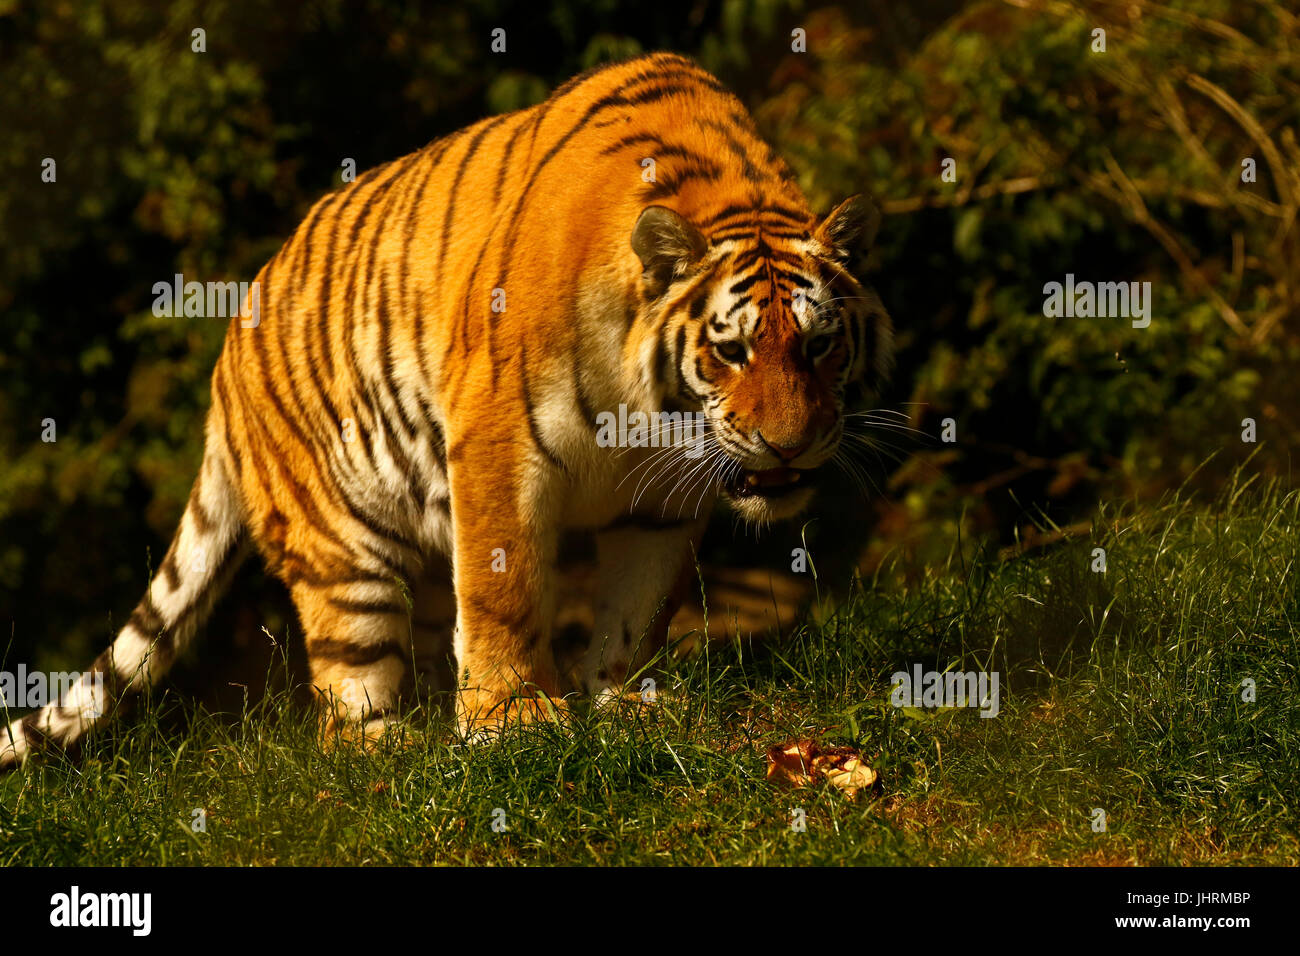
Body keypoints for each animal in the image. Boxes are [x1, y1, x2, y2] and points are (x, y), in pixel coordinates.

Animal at [0, 52, 892, 769]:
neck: (654, 414)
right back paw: (394, 751)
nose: (789, 446)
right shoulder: (501, 444)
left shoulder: (664, 499)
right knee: (344, 705)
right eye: (732, 351)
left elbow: (640, 608)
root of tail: (228, 348)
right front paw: (513, 723)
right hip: (343, 554)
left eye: (818, 346)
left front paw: (621, 703)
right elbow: (507, 591)